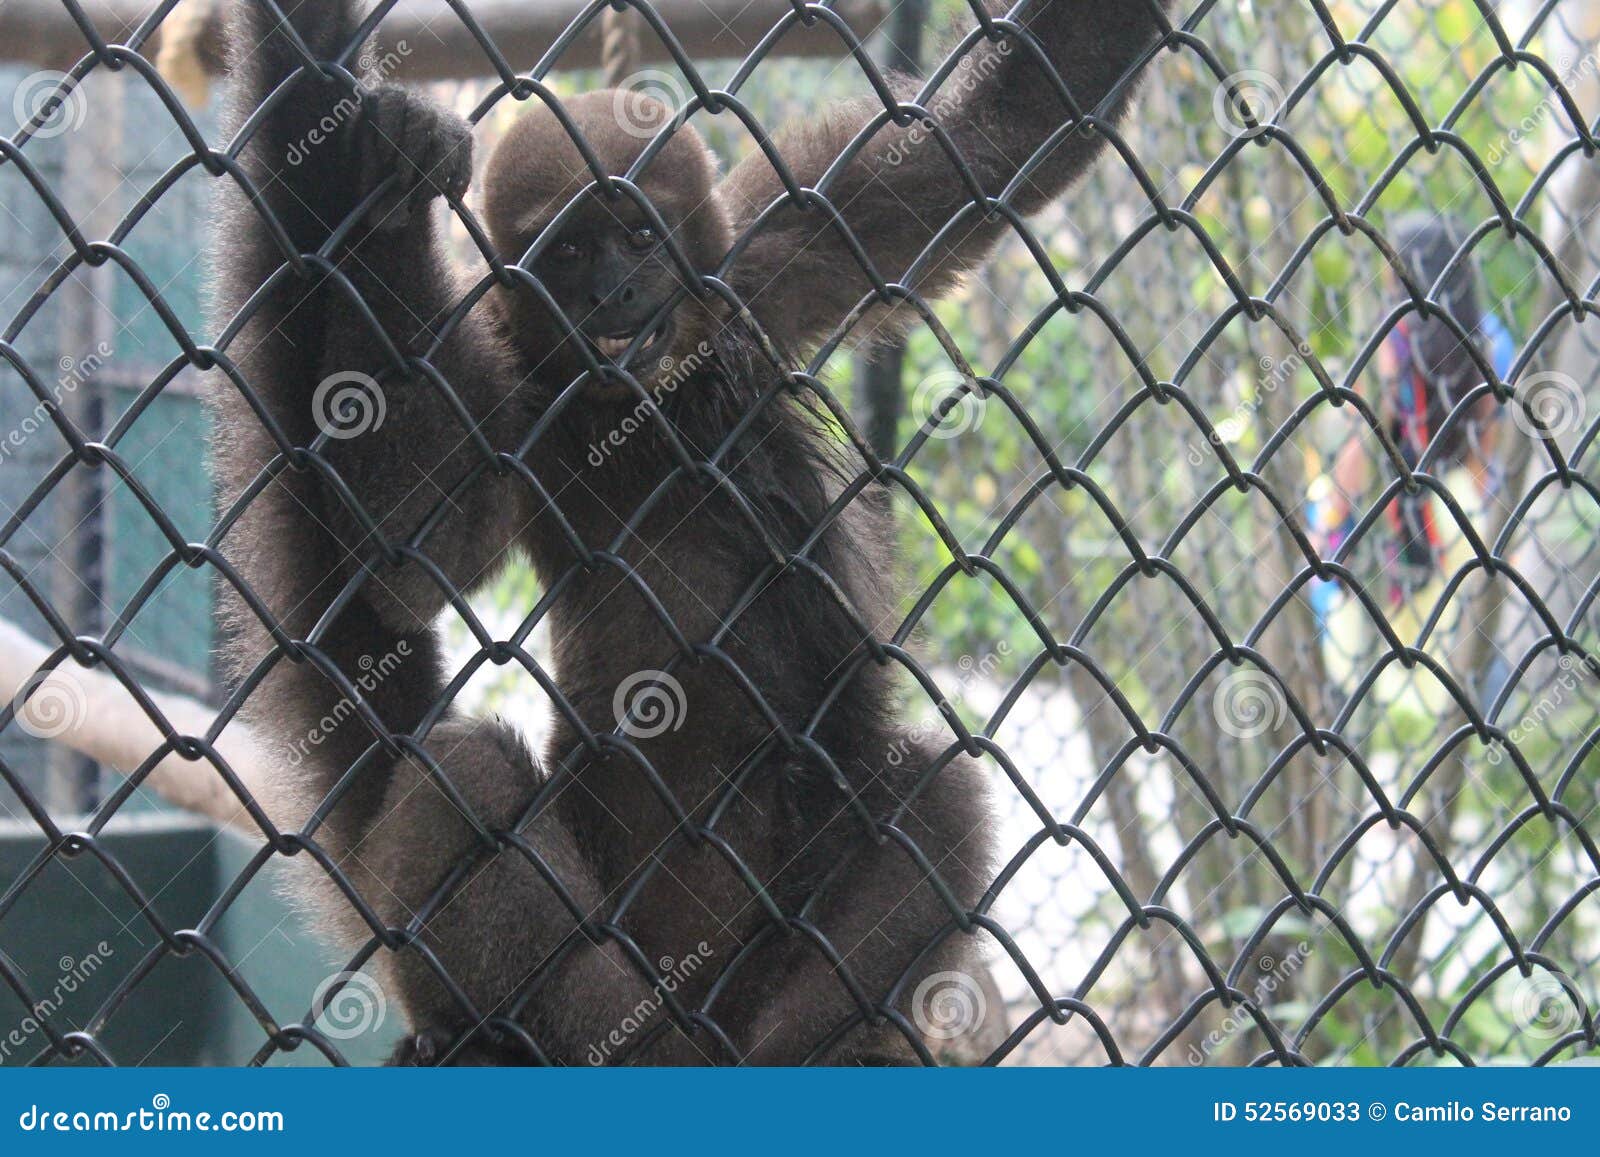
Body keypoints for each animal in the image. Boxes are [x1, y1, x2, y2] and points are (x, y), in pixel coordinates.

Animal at [211, 0, 1173, 1064]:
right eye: (569, 252)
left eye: (638, 232)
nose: (616, 292)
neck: (640, 409)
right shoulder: (510, 385)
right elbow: (410, 557)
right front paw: (390, 192)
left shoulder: (767, 248)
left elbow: (1008, 127)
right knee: (466, 778)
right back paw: (536, 1039)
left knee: (938, 790)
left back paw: (809, 1048)